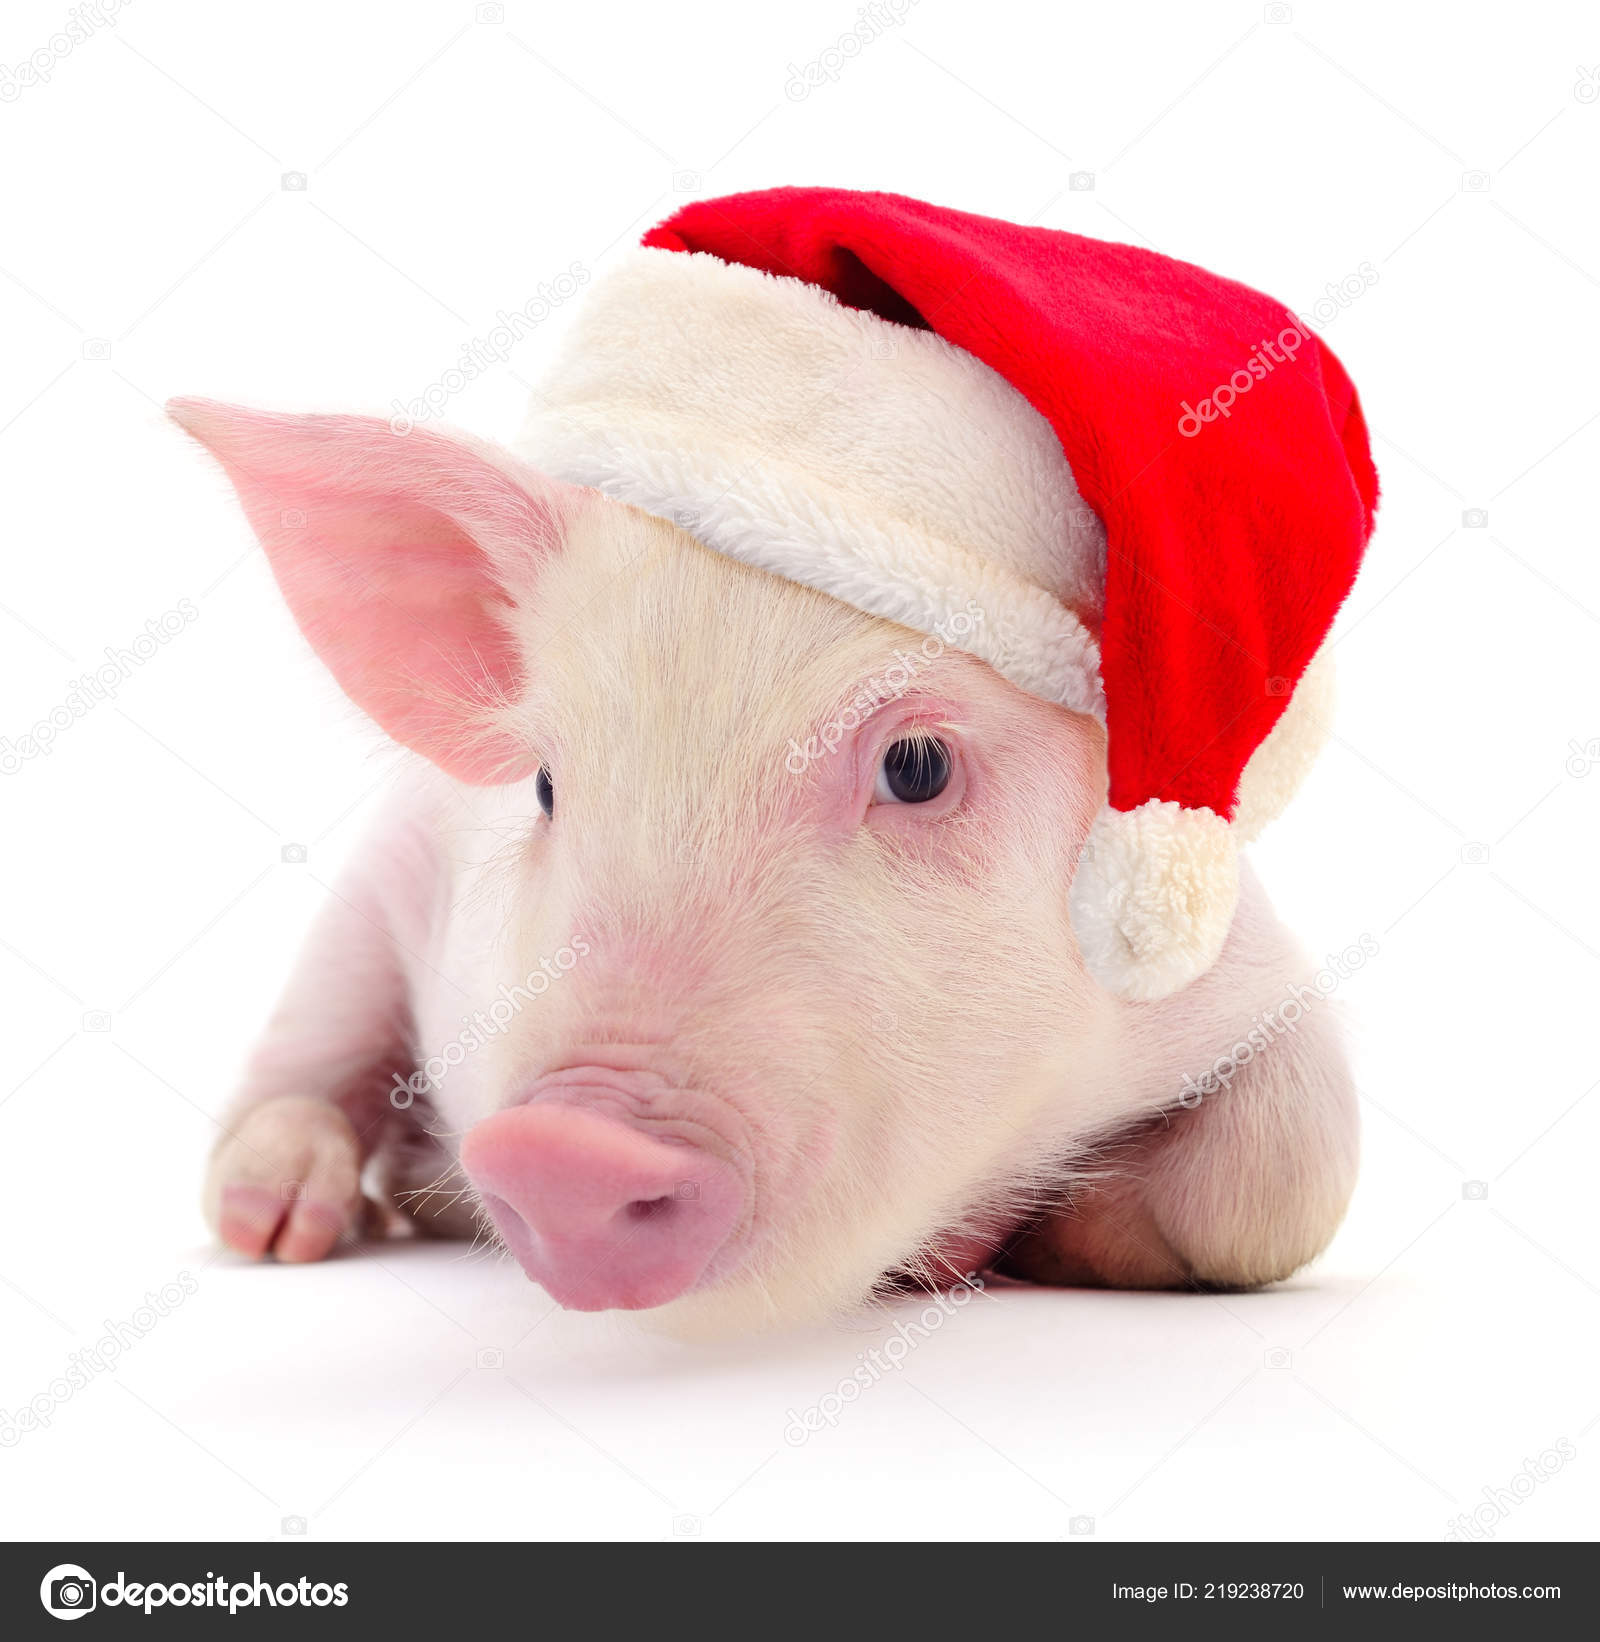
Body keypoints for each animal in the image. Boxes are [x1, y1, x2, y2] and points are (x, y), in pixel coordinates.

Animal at [174, 399, 1357, 1332]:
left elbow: (1299, 1163)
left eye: (917, 765)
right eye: (550, 784)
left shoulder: (1237, 960)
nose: (564, 1145)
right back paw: (285, 1222)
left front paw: (1039, 1244)